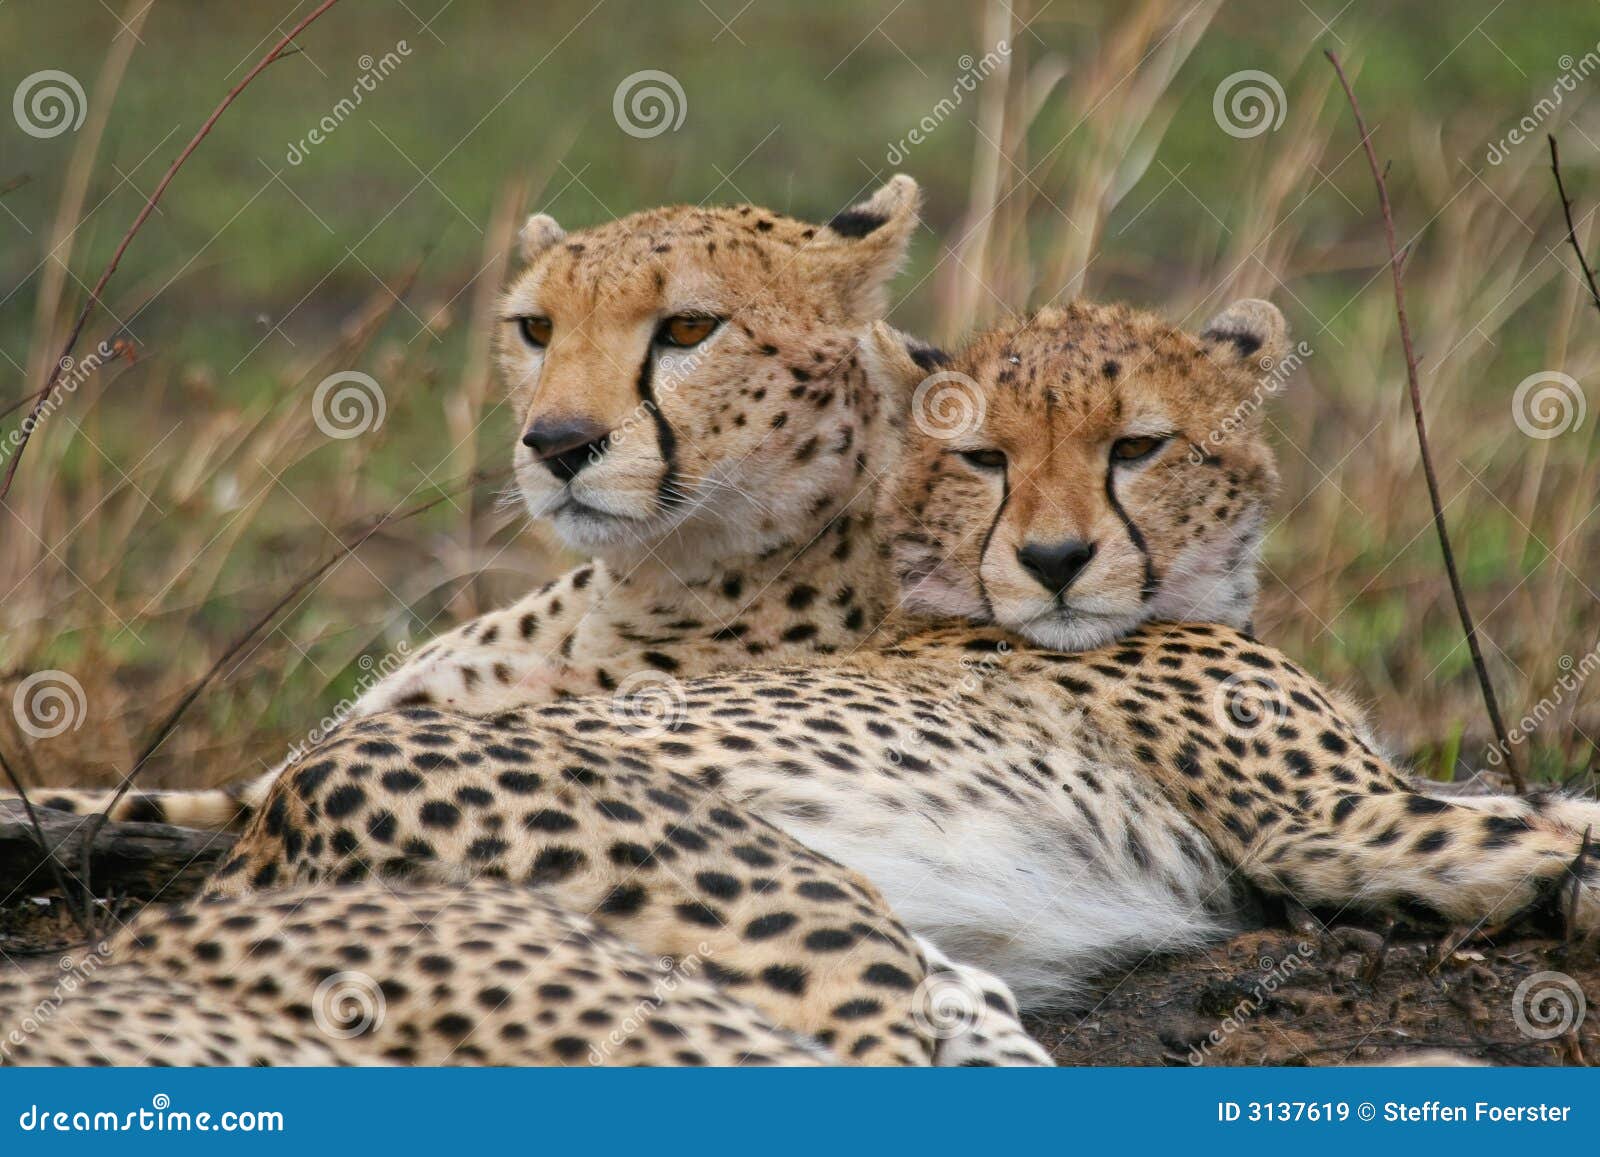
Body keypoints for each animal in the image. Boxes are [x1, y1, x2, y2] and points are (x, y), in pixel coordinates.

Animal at [212, 298, 1600, 1021]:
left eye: (1138, 447)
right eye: (983, 458)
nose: (1053, 559)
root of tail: (269, 830)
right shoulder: (1339, 821)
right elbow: (1553, 828)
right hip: (801, 908)